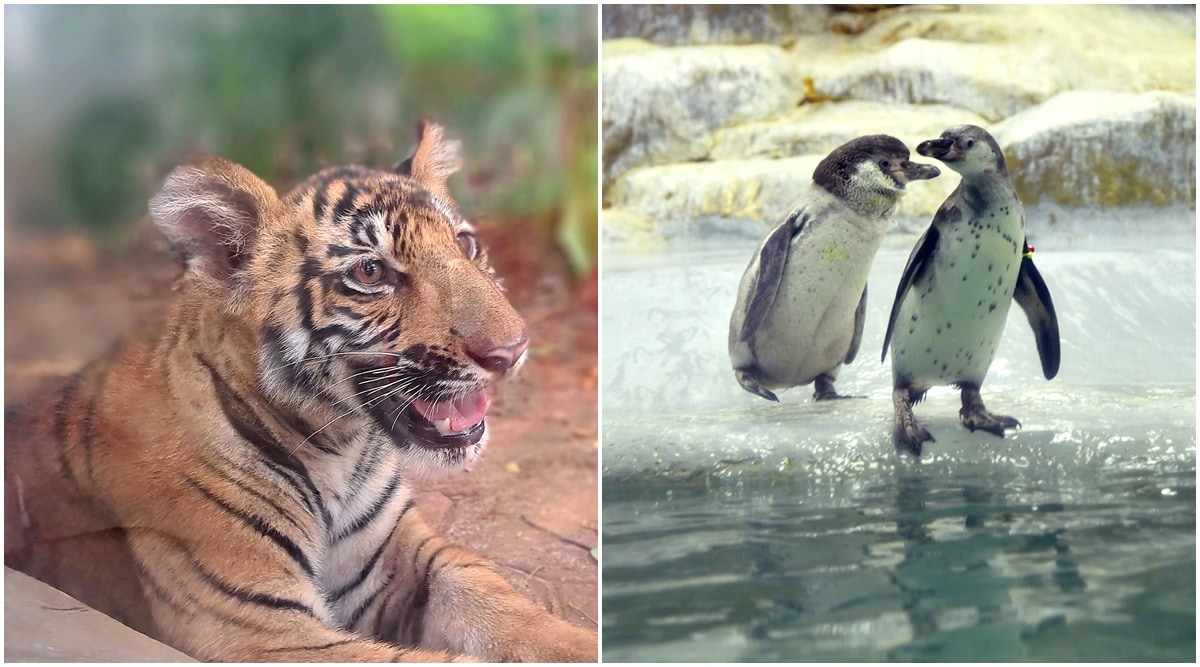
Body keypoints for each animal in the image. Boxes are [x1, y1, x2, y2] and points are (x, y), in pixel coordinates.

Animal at [4, 120, 598, 662]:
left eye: (466, 244)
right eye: (372, 271)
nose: (512, 351)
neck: (341, 449)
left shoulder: (405, 560)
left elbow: (505, 607)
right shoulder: (261, 628)